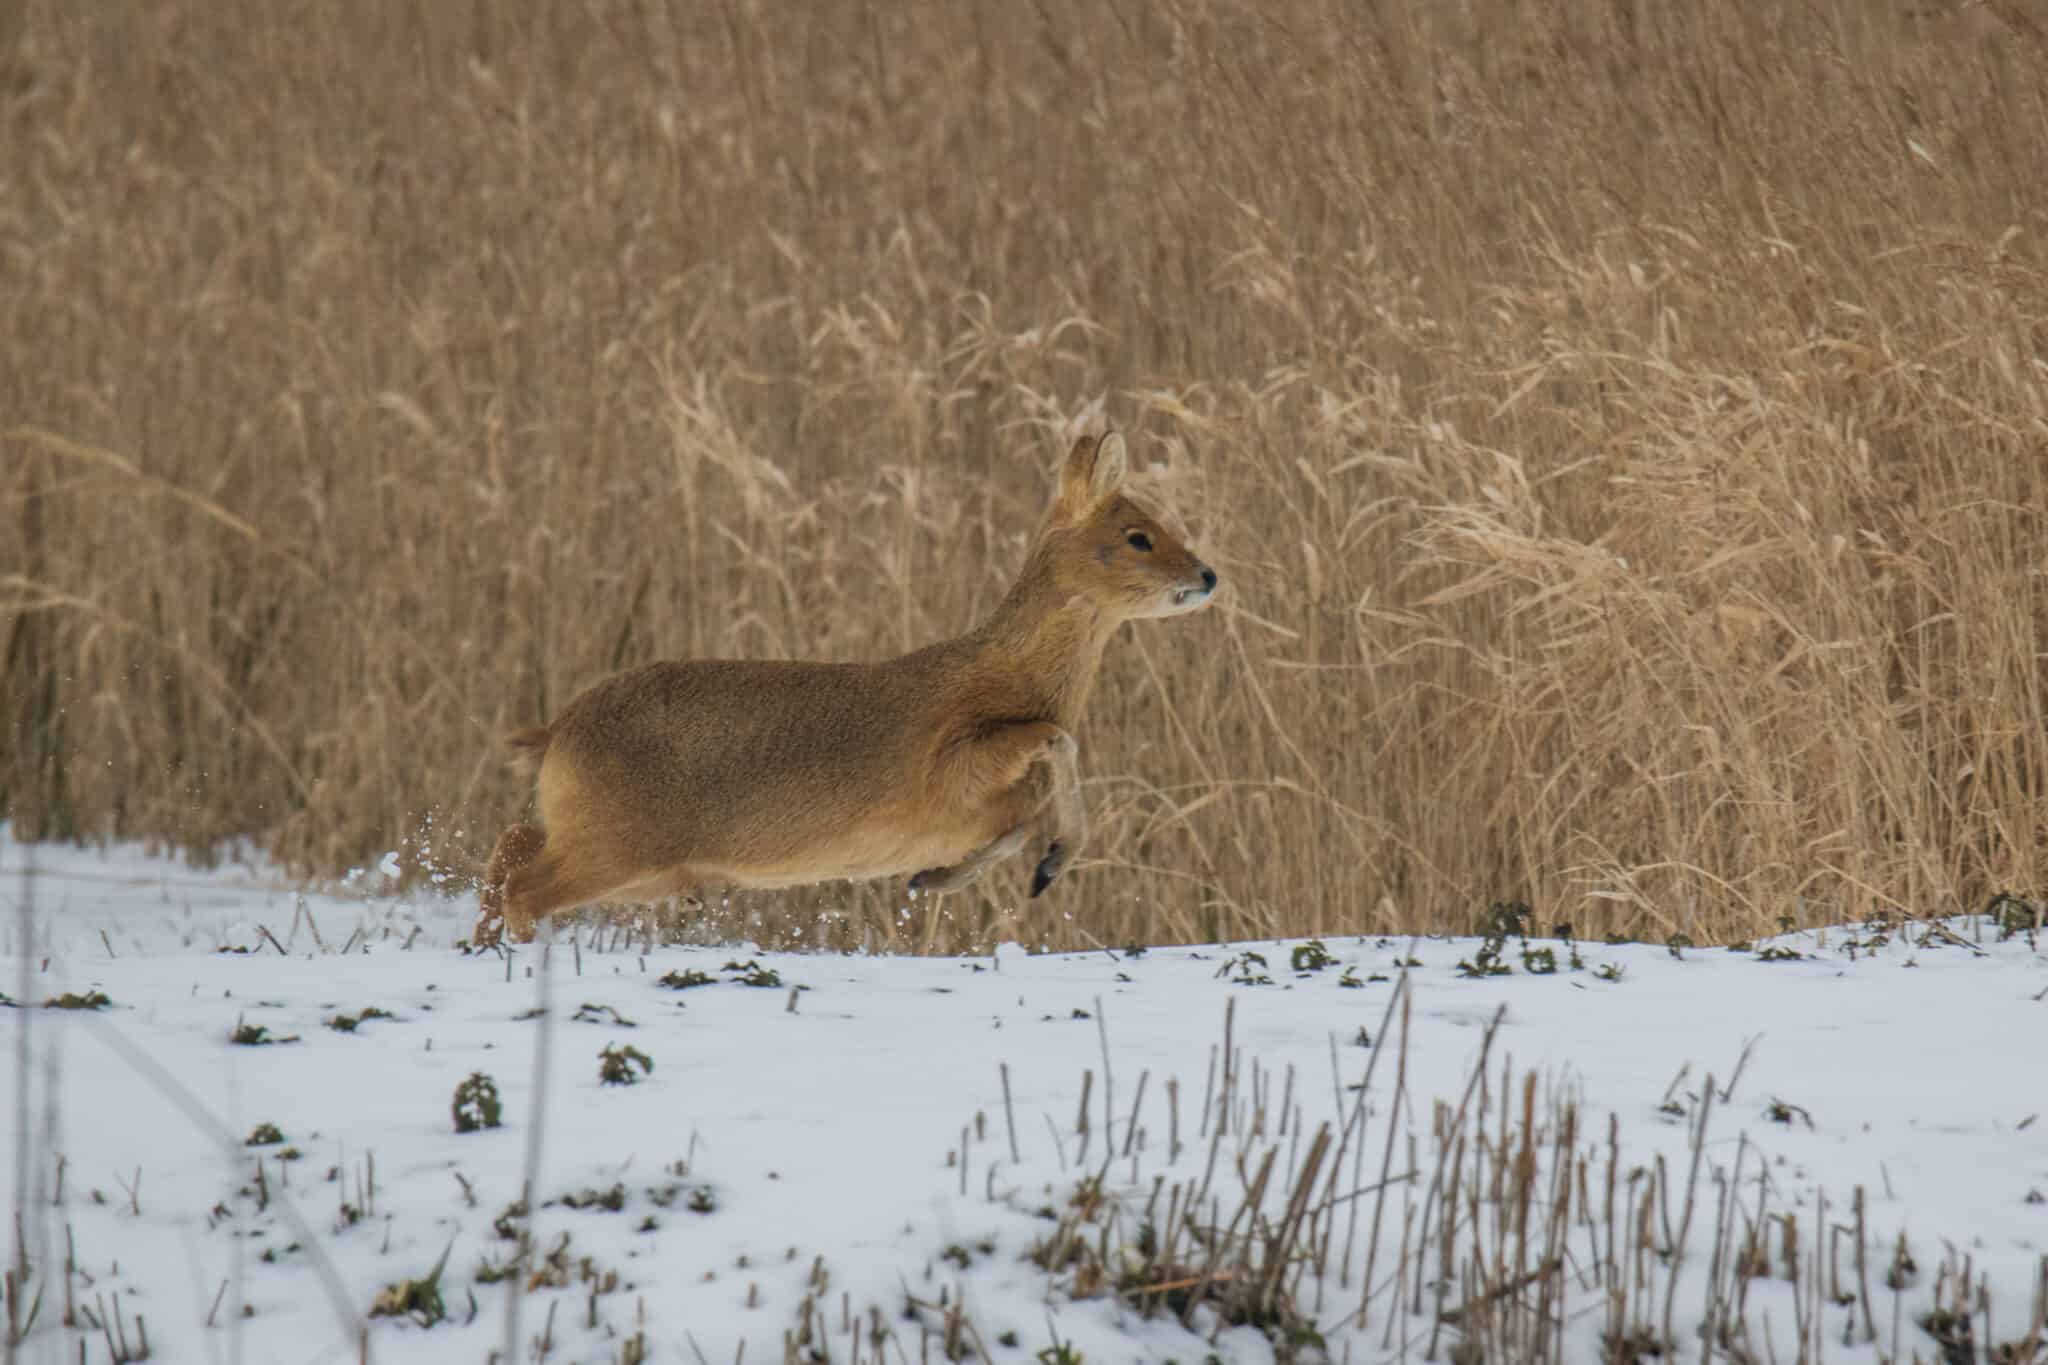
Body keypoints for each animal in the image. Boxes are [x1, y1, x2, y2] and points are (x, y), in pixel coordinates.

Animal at [470, 431, 1218, 946]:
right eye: (1138, 535)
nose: (1208, 574)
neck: (1014, 673)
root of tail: (555, 731)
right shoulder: (951, 762)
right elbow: (1060, 741)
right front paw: (1046, 863)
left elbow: (1014, 827)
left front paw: (954, 875)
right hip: (615, 848)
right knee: (523, 886)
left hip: (628, 859)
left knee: (508, 846)